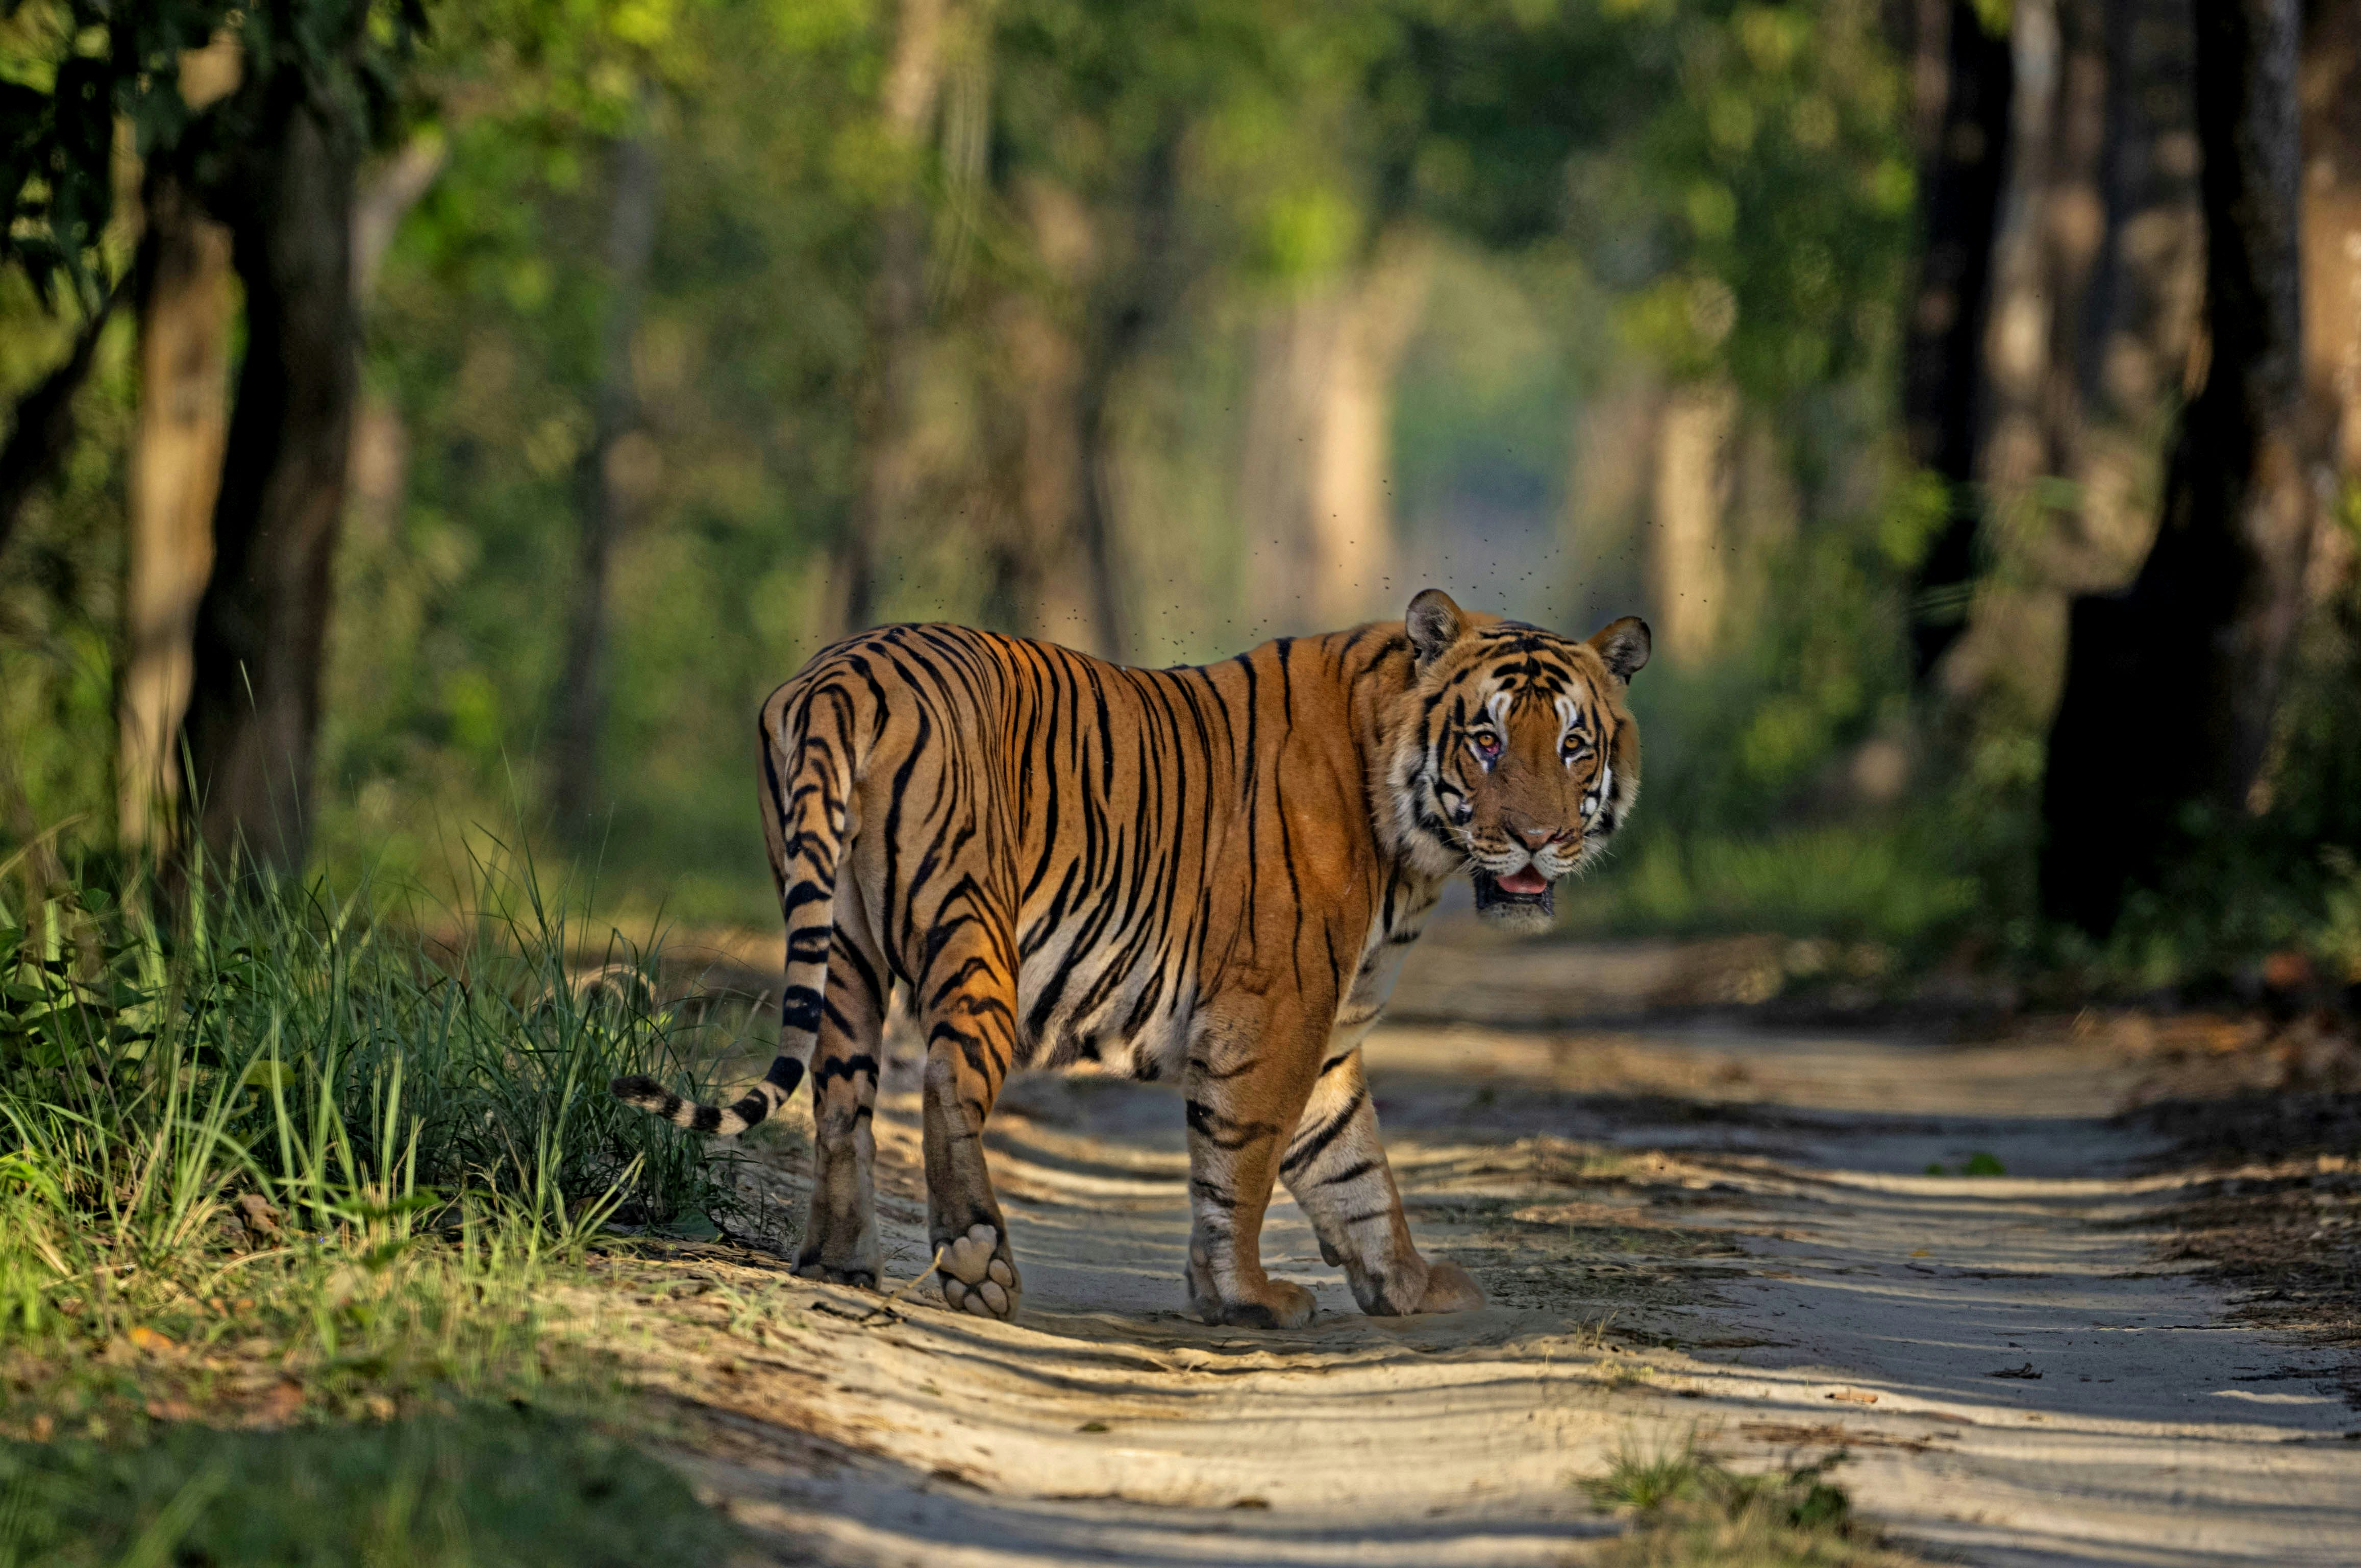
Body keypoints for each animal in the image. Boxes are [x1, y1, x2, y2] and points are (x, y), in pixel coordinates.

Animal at [615, 589, 1649, 1328]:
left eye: (1572, 744)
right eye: (1485, 741)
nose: (1537, 839)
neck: (1414, 845)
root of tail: (842, 671)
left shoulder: (1327, 1026)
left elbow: (1353, 1166)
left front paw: (1409, 1286)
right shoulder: (1277, 1006)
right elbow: (1246, 1158)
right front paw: (1244, 1299)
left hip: (842, 946)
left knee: (840, 1096)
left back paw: (839, 1262)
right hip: (971, 923)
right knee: (947, 1081)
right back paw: (978, 1265)